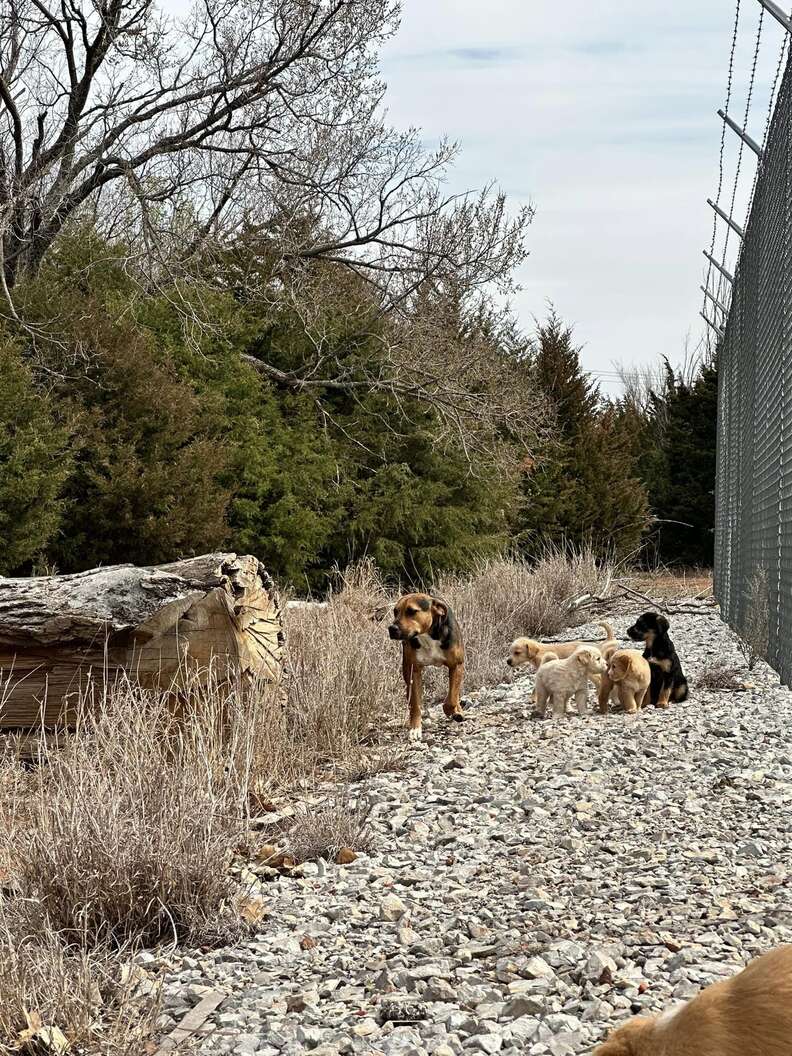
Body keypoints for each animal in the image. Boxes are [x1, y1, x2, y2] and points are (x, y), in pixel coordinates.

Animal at [386, 595, 462, 743]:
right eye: (395, 611)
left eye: (412, 611)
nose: (392, 628)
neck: (427, 636)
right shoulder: (412, 672)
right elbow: (415, 704)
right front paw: (415, 729)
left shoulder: (457, 666)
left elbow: (451, 698)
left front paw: (451, 711)